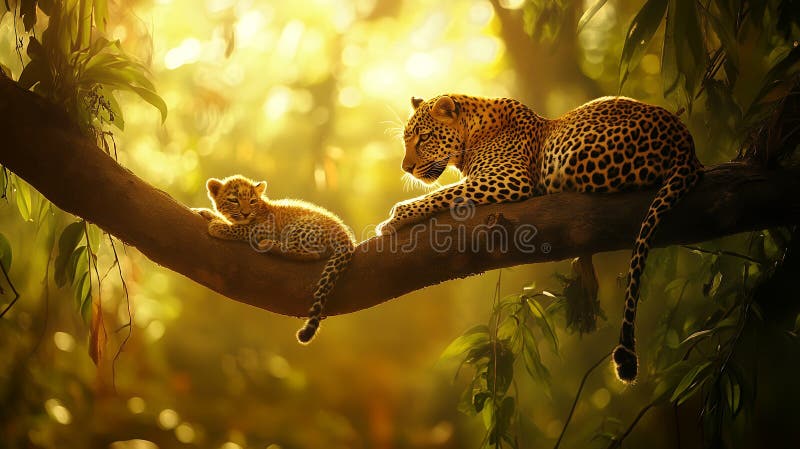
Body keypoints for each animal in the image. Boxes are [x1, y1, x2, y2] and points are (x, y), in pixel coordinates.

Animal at [195, 175, 356, 343]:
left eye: (252, 201)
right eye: (234, 200)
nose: (245, 213)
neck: (260, 207)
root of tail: (346, 237)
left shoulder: (264, 228)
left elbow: (243, 229)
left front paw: (218, 227)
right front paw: (205, 212)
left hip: (301, 227)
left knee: (308, 252)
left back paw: (267, 244)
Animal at [376, 94, 703, 383]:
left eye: (423, 138)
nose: (406, 168)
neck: (473, 132)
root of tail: (686, 141)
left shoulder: (507, 178)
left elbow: (441, 194)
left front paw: (393, 218)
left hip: (569, 152)